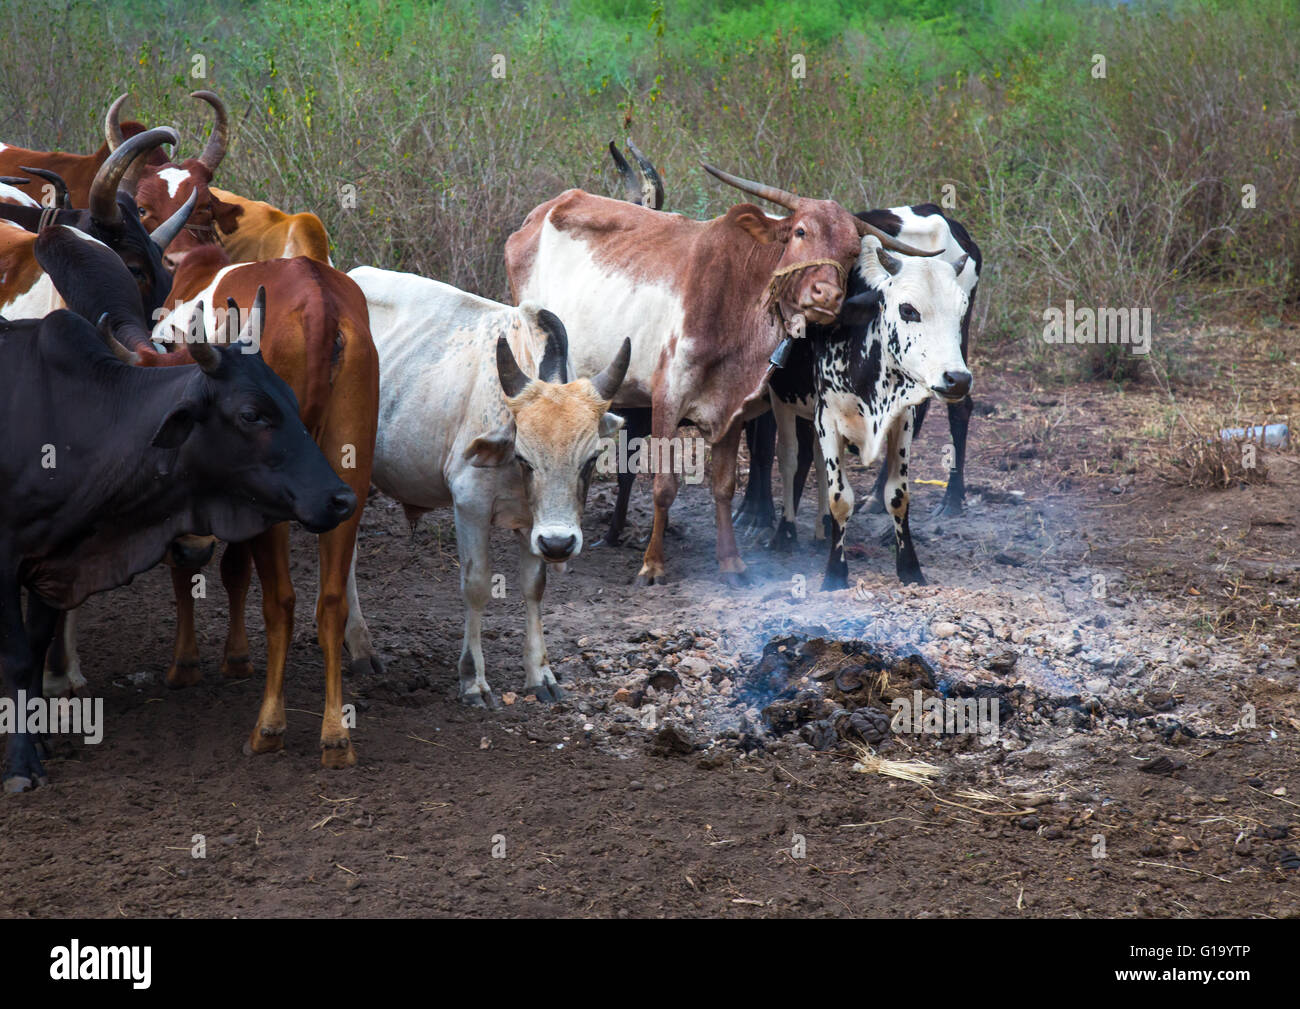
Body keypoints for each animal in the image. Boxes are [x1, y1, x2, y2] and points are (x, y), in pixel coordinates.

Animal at [0, 226, 356, 791]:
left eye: (289, 401)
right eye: (251, 413)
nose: (339, 498)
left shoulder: (55, 558)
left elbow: (32, 650)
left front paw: (35, 744)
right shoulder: (23, 558)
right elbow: (19, 656)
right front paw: (24, 756)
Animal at [341, 266, 630, 707]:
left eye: (592, 459)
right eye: (524, 457)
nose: (561, 544)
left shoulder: (533, 524)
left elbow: (534, 587)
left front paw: (540, 674)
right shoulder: (470, 505)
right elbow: (476, 585)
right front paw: (473, 679)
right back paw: (360, 648)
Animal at [505, 164, 938, 587]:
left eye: (850, 252)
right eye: (801, 232)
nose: (826, 296)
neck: (737, 297)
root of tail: (544, 211)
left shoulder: (732, 407)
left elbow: (724, 486)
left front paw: (731, 563)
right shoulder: (666, 398)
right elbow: (664, 487)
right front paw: (653, 564)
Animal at [765, 234, 974, 588]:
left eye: (961, 312)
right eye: (908, 309)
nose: (957, 379)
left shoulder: (902, 420)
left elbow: (897, 496)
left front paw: (910, 568)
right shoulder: (827, 418)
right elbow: (840, 497)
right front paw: (835, 573)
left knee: (816, 463)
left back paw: (822, 530)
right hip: (782, 402)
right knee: (790, 458)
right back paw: (785, 532)